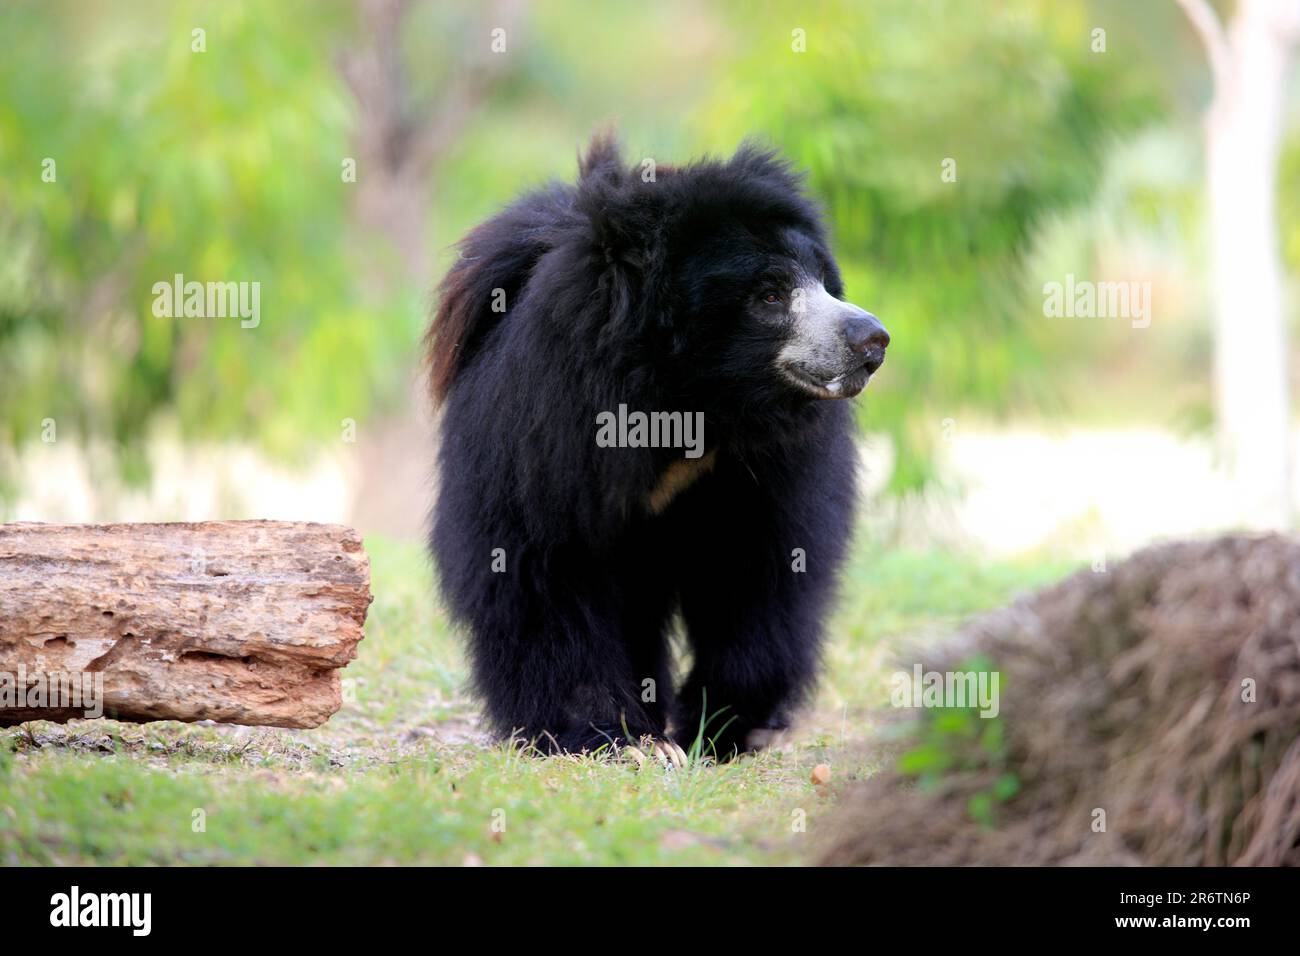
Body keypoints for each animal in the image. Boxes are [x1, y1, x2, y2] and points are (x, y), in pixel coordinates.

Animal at [426, 135, 888, 760]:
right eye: (769, 295)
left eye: (823, 281)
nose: (872, 340)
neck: (693, 405)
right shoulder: (545, 435)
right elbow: (542, 571)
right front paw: (606, 736)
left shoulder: (769, 466)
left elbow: (761, 570)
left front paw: (719, 729)